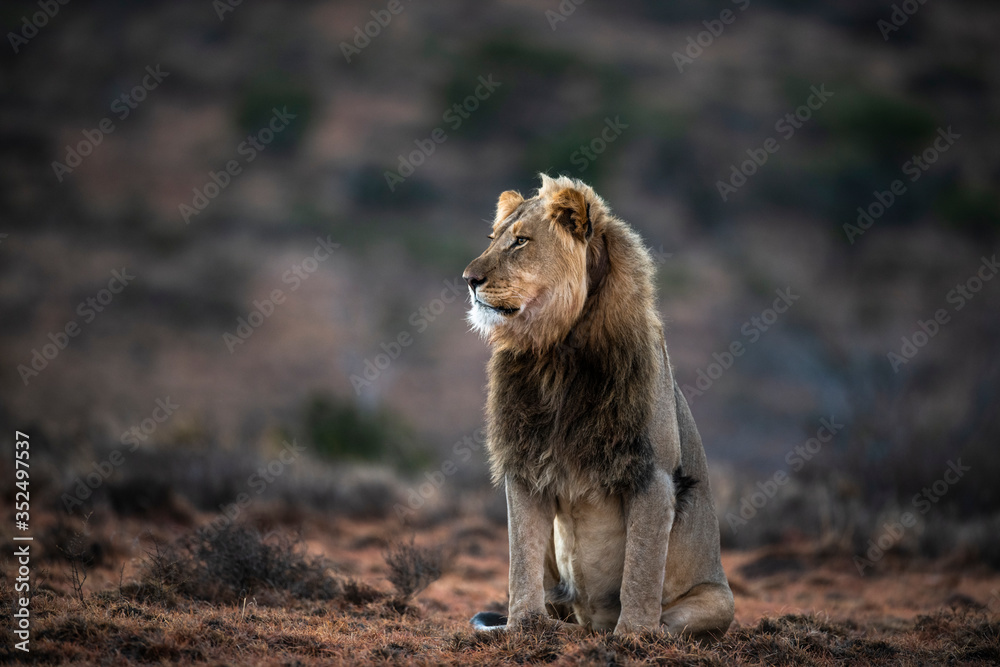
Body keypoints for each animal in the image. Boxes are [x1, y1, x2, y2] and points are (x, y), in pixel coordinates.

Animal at [462, 174, 734, 638]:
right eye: (494, 239)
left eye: (520, 241)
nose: (467, 279)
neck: (557, 353)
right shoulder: (525, 465)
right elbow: (521, 560)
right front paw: (522, 627)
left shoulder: (652, 474)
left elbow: (641, 570)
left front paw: (633, 637)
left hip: (719, 601)